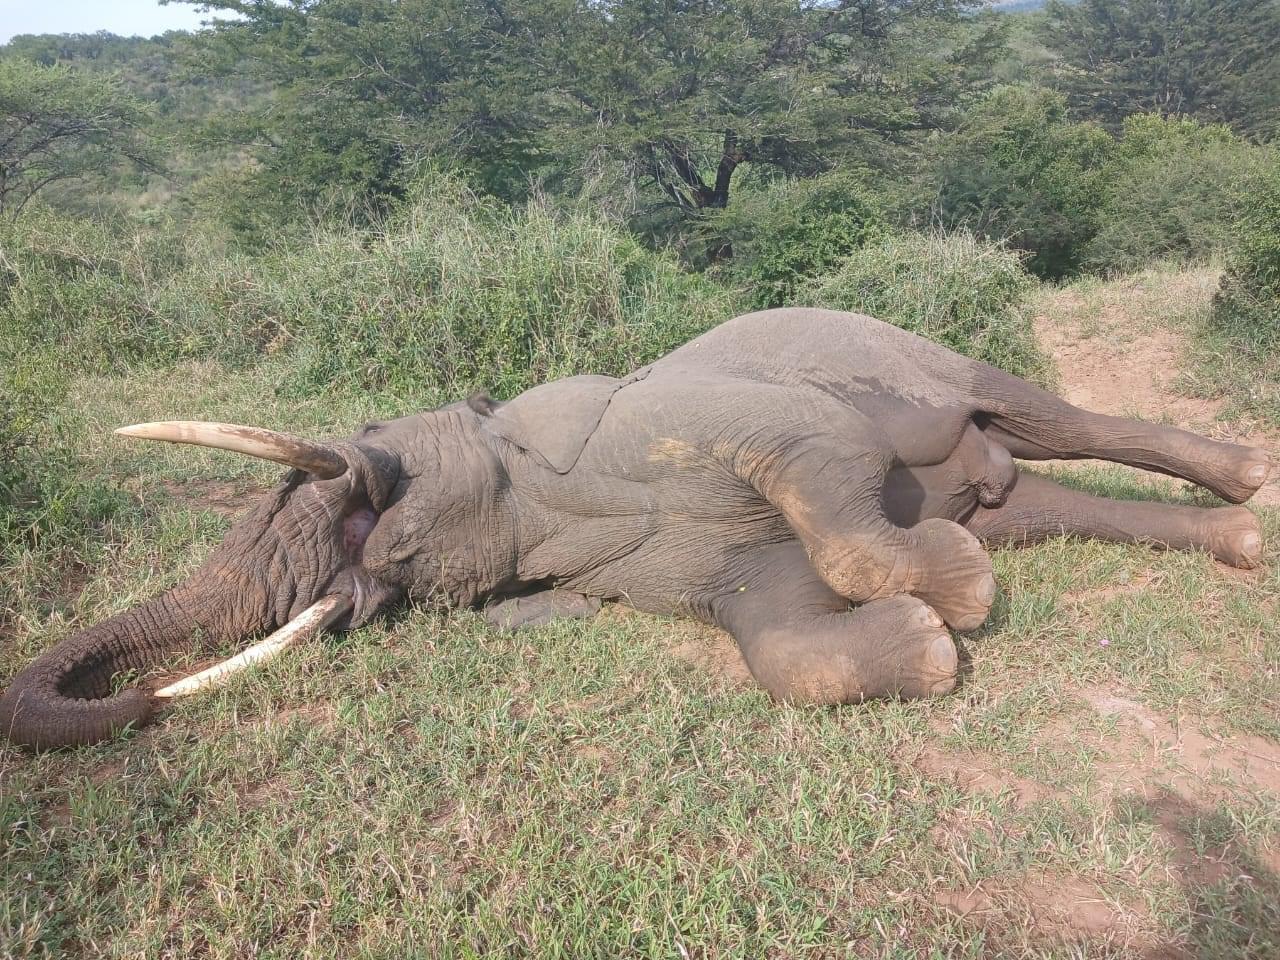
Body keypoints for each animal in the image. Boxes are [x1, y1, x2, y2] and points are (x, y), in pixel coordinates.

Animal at [1, 308, 1270, 749]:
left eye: (359, 480)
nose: (134, 695)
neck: (521, 475)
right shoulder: (678, 570)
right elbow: (777, 632)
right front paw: (929, 637)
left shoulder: (671, 423)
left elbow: (827, 460)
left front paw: (951, 593)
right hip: (1013, 490)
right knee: (1044, 505)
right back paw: (1232, 545)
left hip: (914, 351)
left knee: (1044, 416)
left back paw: (1247, 482)